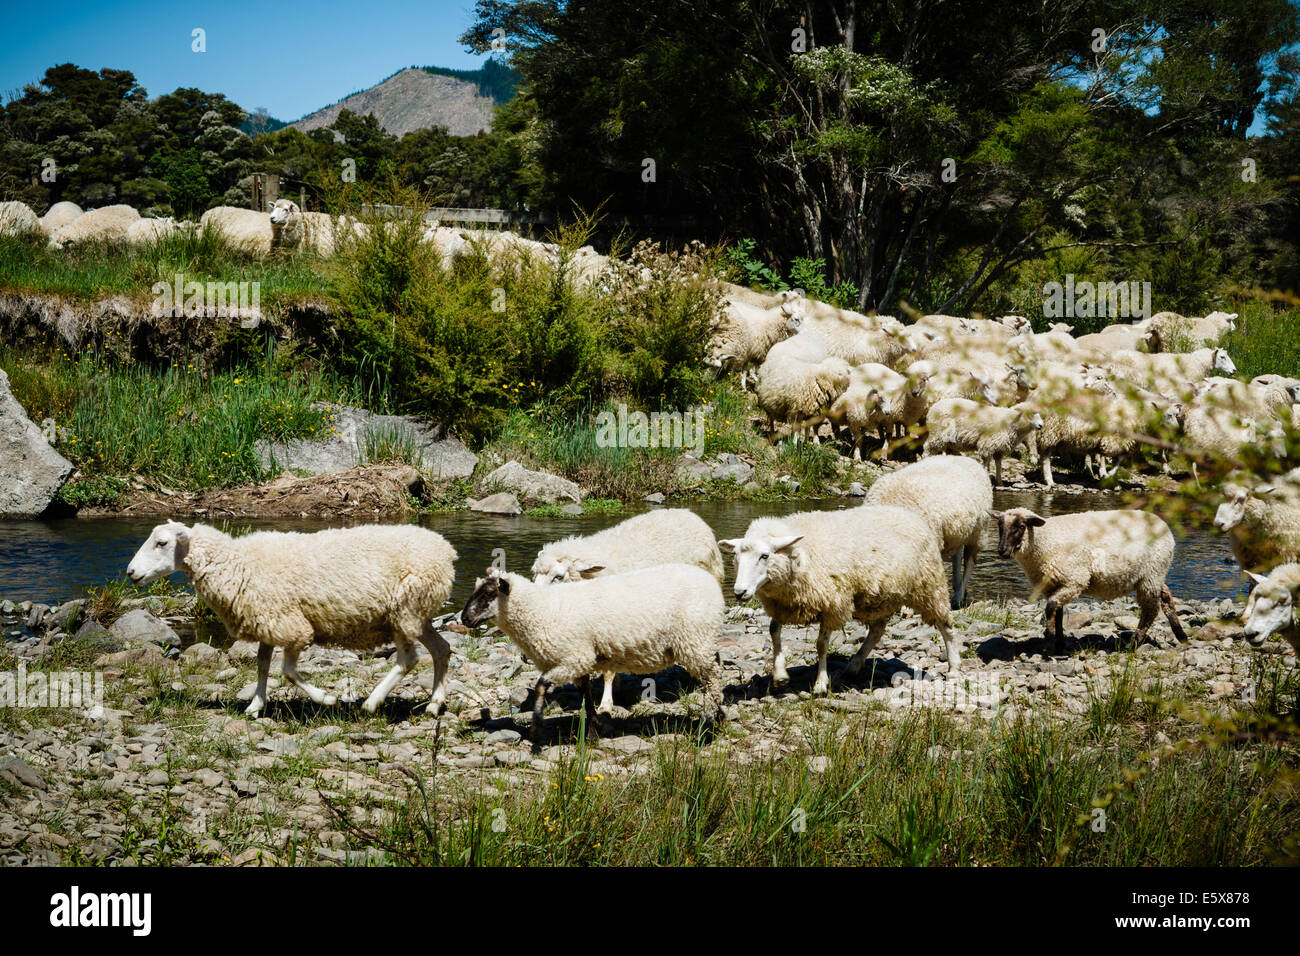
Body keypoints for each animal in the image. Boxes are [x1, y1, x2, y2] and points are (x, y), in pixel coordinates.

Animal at [125, 521, 457, 716]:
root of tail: (447, 551)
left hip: (405, 608)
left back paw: (372, 702)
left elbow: (286, 671)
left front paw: (325, 699)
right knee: (441, 650)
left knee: (408, 659)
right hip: (416, 613)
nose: (130, 572)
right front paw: (256, 705)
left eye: (162, 543)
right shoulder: (266, 621)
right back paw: (434, 704)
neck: (235, 562)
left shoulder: (291, 624)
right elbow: (262, 665)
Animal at [461, 565, 725, 738]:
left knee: (712, 679)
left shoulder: (574, 657)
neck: (542, 610)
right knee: (715, 670)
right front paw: (595, 724)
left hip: (695, 639)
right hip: (700, 641)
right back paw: (718, 714)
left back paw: (712, 722)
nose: (463, 619)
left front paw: (536, 725)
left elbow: (541, 685)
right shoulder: (581, 661)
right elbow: (586, 694)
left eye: (488, 594)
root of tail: (711, 583)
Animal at [719, 505, 963, 695]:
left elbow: (821, 645)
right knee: (877, 630)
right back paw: (854, 665)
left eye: (765, 556)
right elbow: (773, 632)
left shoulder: (832, 605)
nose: (739, 592)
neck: (800, 555)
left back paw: (954, 667)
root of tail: (909, 514)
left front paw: (820, 684)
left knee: (946, 626)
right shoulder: (783, 605)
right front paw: (780, 674)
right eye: (736, 558)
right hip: (878, 598)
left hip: (929, 586)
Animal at [865, 455, 994, 608]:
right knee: (957, 555)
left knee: (969, 562)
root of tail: (967, 459)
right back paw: (957, 587)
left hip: (978, 532)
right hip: (960, 532)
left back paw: (958, 597)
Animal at [986, 508, 1188, 654]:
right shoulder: (1055, 584)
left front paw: (1049, 643)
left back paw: (1133, 645)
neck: (1045, 542)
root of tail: (1163, 525)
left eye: (1021, 526)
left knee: (1150, 610)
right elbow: (1058, 613)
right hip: (1154, 574)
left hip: (1151, 574)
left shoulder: (1075, 580)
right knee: (1166, 598)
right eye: (999, 525)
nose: (1002, 551)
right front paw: (1059, 644)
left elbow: (1050, 608)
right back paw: (1181, 636)